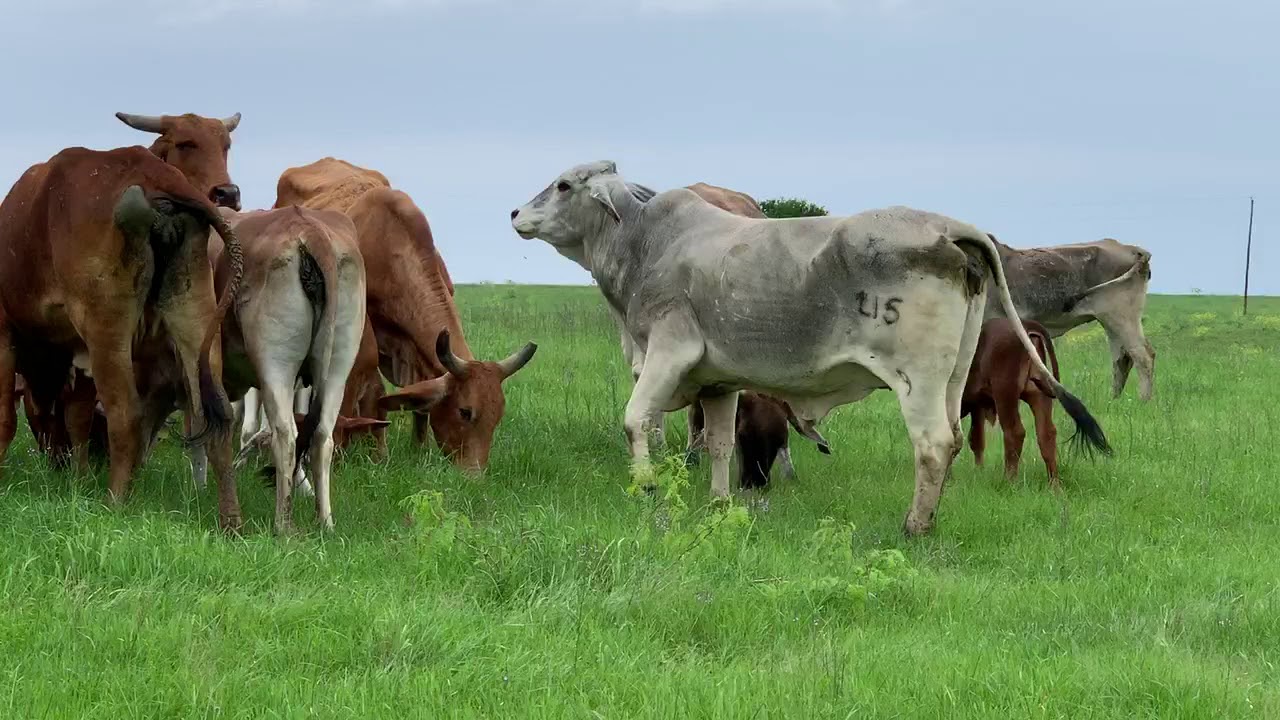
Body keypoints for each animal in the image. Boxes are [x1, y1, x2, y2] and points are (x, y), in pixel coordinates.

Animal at [0, 146, 245, 530]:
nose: (55, 459)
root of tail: (156, 175)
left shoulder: (6, 331)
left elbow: (6, 417)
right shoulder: (80, 355)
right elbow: (78, 417)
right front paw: (80, 476)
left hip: (107, 329)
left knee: (127, 414)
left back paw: (114, 502)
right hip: (194, 315)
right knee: (217, 416)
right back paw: (230, 521)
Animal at [273, 158, 537, 472]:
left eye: (498, 415)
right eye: (464, 411)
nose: (473, 474)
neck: (391, 245)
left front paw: (417, 450)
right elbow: (371, 390)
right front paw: (367, 451)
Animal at [961, 317, 1063, 487]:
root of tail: (1027, 325)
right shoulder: (978, 406)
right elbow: (976, 439)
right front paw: (978, 473)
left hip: (1005, 393)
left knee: (1015, 432)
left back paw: (1009, 481)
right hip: (1038, 394)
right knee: (1046, 433)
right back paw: (1054, 484)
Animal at [984, 236, 1155, 401]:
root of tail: (1137, 251)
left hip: (1121, 316)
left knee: (1143, 356)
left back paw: (1143, 402)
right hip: (1110, 321)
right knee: (1121, 359)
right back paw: (1113, 400)